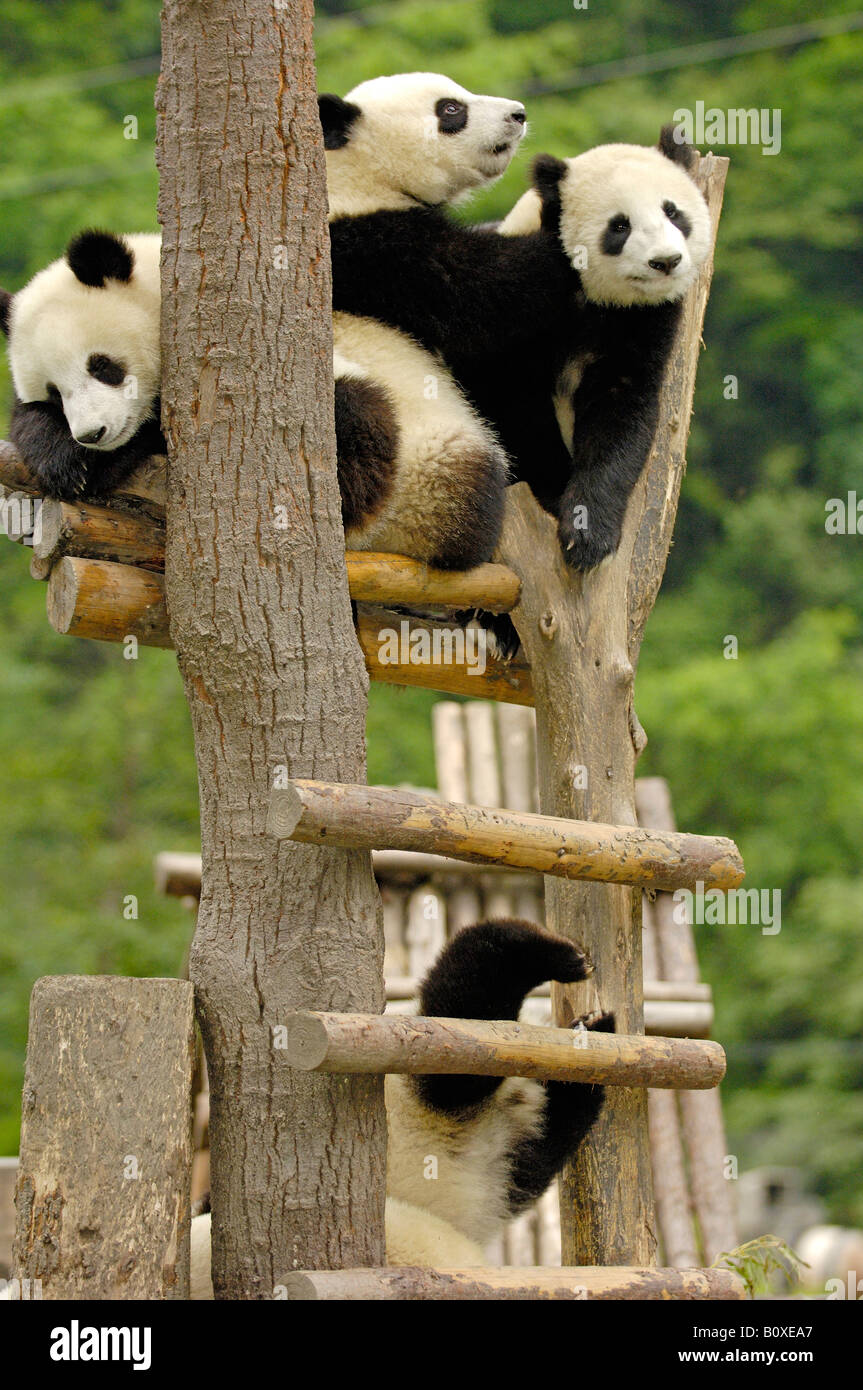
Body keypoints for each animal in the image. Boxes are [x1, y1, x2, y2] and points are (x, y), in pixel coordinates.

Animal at [327, 127, 712, 572]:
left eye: (673, 212)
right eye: (620, 226)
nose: (665, 261)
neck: (595, 303)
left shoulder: (639, 323)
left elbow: (620, 414)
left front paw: (588, 532)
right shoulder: (510, 331)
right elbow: (514, 406)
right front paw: (554, 494)